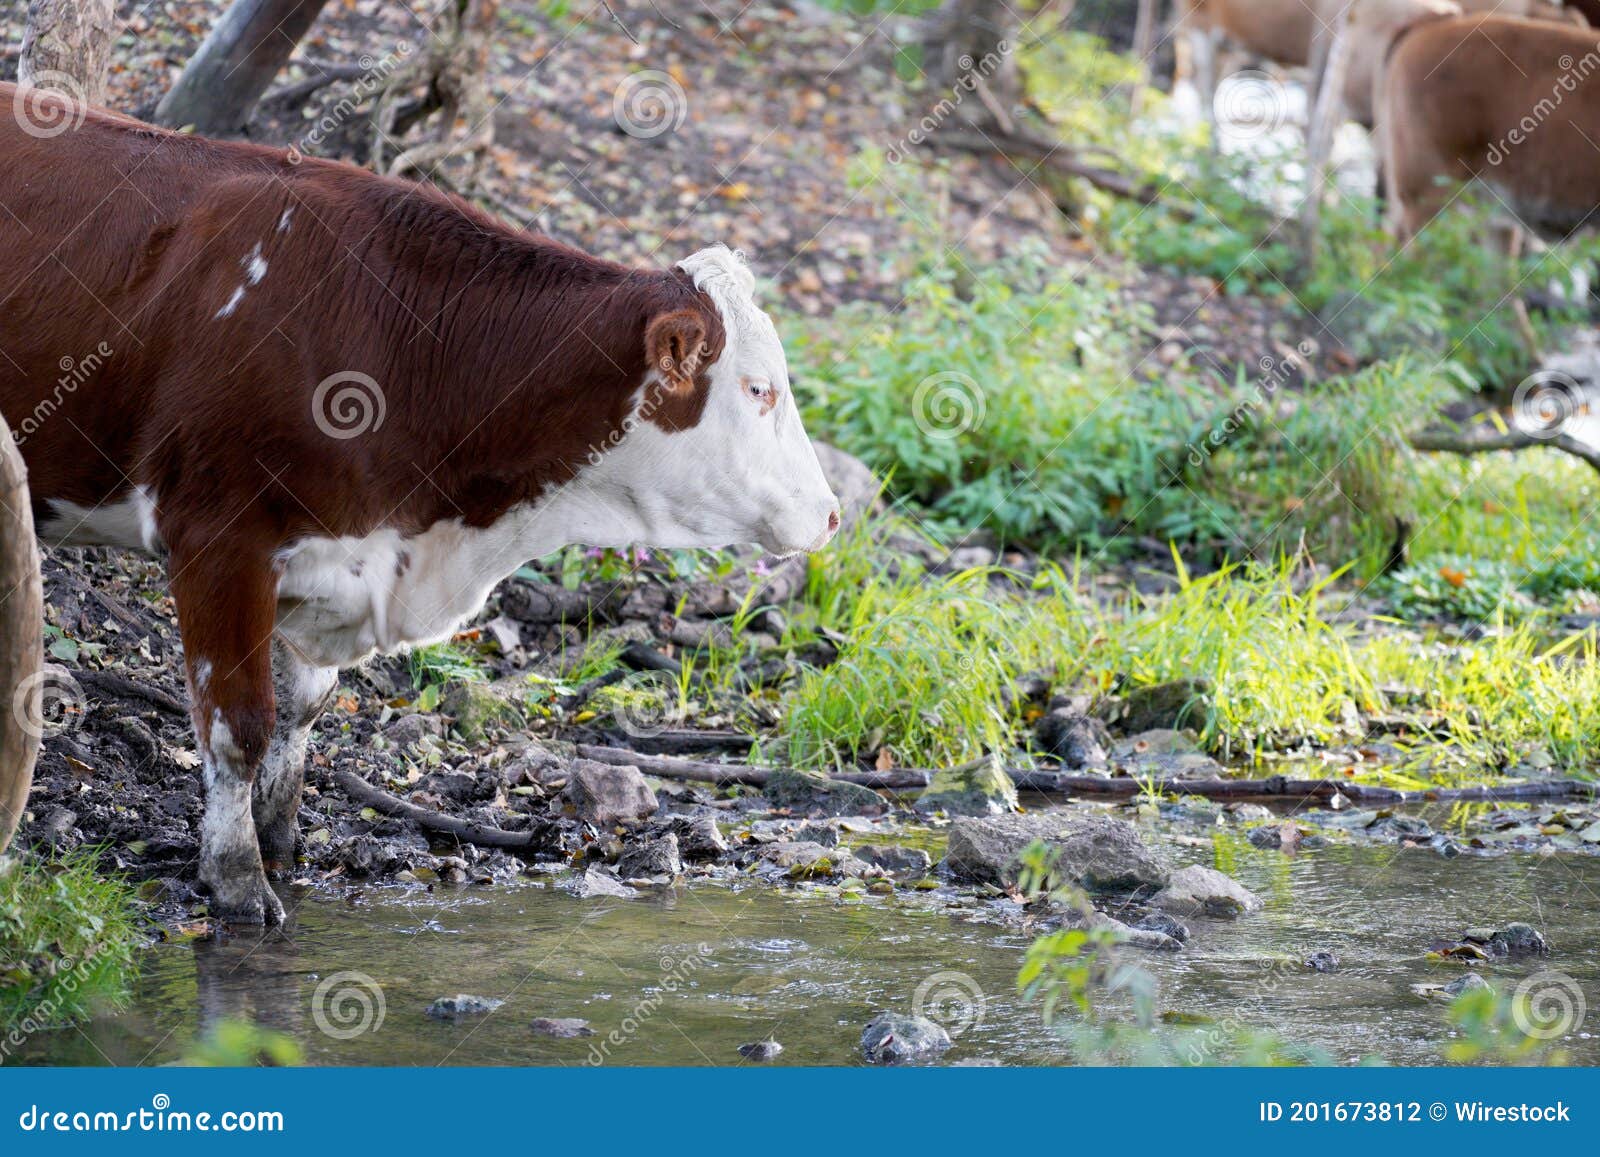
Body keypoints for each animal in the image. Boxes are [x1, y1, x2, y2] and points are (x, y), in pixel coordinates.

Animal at [0, 82, 841, 924]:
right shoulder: (217, 535)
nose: (833, 512)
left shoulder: (326, 554)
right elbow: (240, 725)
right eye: (759, 389)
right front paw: (238, 878)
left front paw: (279, 846)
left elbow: (302, 711)